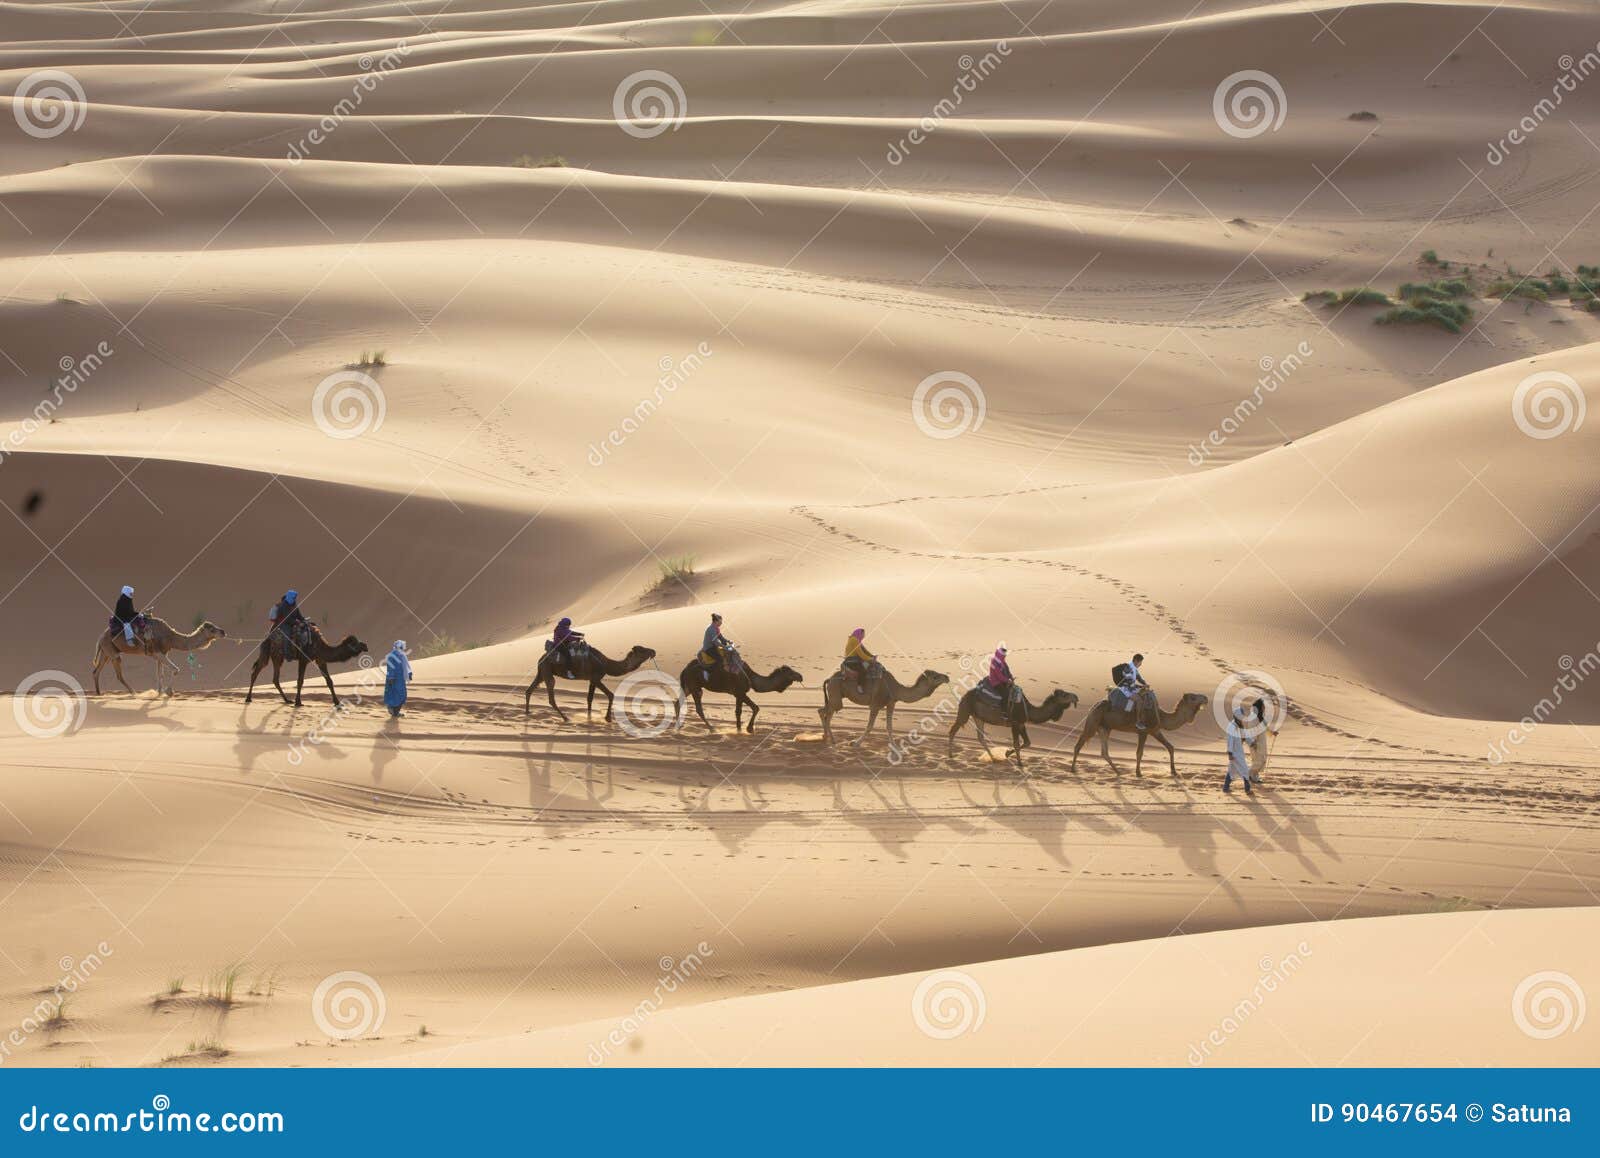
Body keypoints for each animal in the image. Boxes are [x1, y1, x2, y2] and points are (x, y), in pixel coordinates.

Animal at [90, 616, 227, 696]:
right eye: (212, 630)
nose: (223, 632)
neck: (171, 637)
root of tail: (100, 637)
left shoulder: (161, 654)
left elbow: (160, 674)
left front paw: (159, 693)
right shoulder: (157, 652)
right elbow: (176, 669)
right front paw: (168, 692)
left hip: (106, 651)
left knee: (96, 671)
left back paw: (99, 693)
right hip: (111, 651)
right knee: (118, 674)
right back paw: (133, 693)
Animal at [523, 642, 656, 722]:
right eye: (642, 650)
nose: (653, 651)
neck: (607, 664)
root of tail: (540, 658)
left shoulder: (592, 680)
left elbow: (589, 698)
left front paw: (589, 717)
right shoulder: (597, 678)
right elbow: (610, 695)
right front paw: (608, 718)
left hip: (541, 672)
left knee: (529, 690)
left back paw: (528, 712)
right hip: (547, 671)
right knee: (551, 695)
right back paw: (565, 718)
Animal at [817, 666, 949, 745]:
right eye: (935, 676)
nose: (947, 677)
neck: (895, 688)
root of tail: (829, 679)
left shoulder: (891, 703)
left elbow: (889, 727)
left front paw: (894, 745)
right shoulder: (875, 705)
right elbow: (869, 726)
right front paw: (855, 743)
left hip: (834, 697)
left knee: (822, 711)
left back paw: (826, 737)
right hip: (836, 696)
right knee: (826, 714)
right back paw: (832, 739)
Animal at [947, 685, 1079, 765]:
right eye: (1065, 695)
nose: (1076, 697)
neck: (1029, 710)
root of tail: (965, 695)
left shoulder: (1021, 724)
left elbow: (1027, 742)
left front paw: (1007, 753)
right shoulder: (1015, 723)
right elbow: (1016, 743)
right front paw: (1020, 763)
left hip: (978, 717)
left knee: (980, 737)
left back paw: (993, 758)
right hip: (965, 711)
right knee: (953, 730)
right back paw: (950, 755)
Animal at [1069, 690, 1209, 777]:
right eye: (1193, 697)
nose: (1206, 698)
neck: (1161, 715)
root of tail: (1093, 706)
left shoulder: (1155, 731)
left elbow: (1170, 747)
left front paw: (1174, 771)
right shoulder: (1143, 732)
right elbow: (1139, 753)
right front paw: (1138, 773)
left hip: (1104, 727)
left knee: (1104, 752)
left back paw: (1118, 771)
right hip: (1093, 723)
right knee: (1079, 744)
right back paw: (1073, 769)